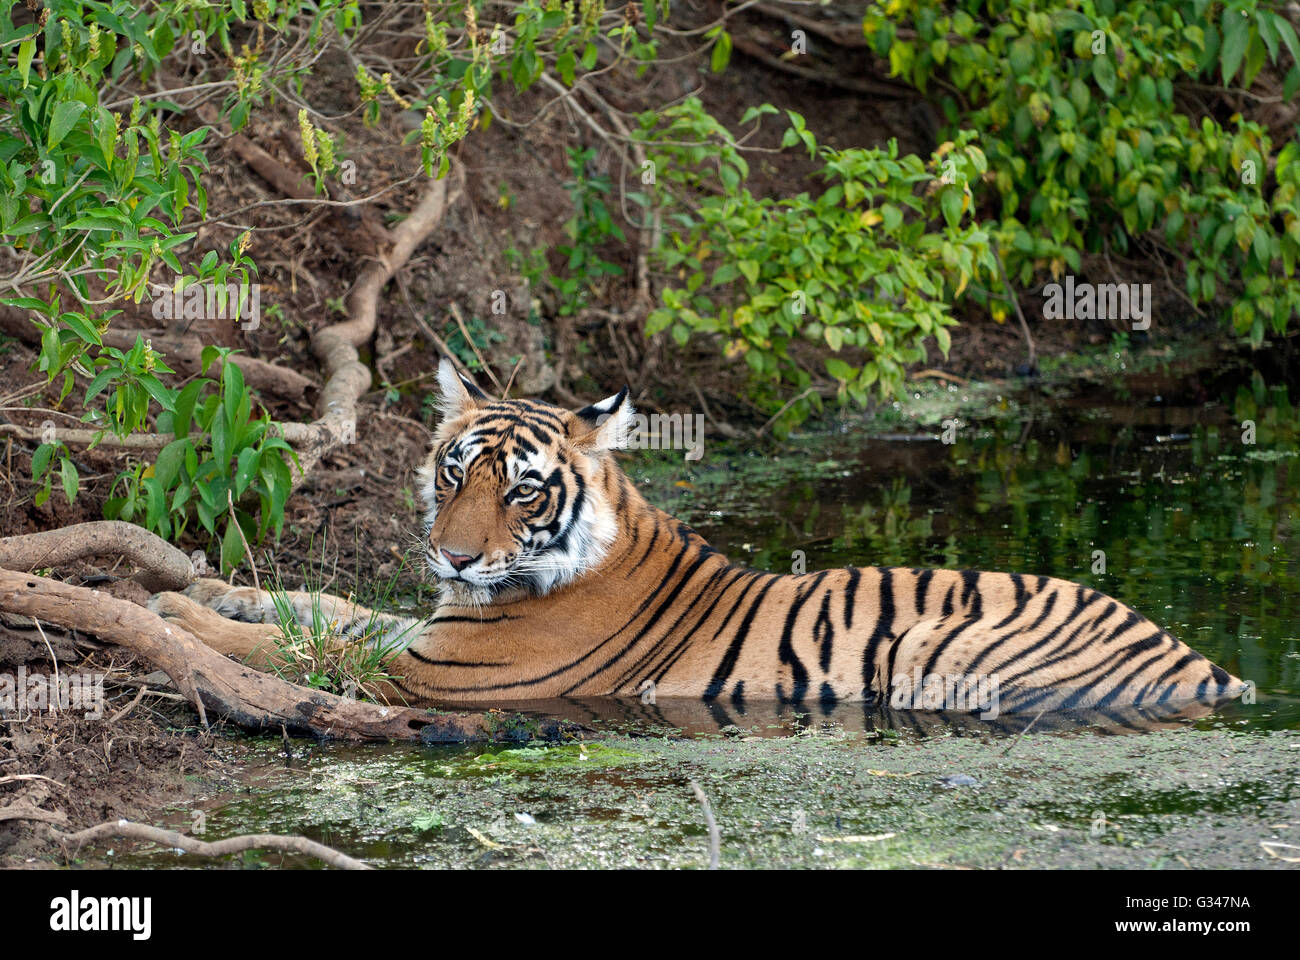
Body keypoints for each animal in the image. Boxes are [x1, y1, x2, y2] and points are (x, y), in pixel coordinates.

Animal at [148, 358, 1247, 717]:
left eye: (523, 495)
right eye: (456, 473)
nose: (452, 557)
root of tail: (1212, 665)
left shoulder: (438, 675)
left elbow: (300, 650)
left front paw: (161, 612)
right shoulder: (429, 634)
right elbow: (323, 611)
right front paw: (201, 588)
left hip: (942, 650)